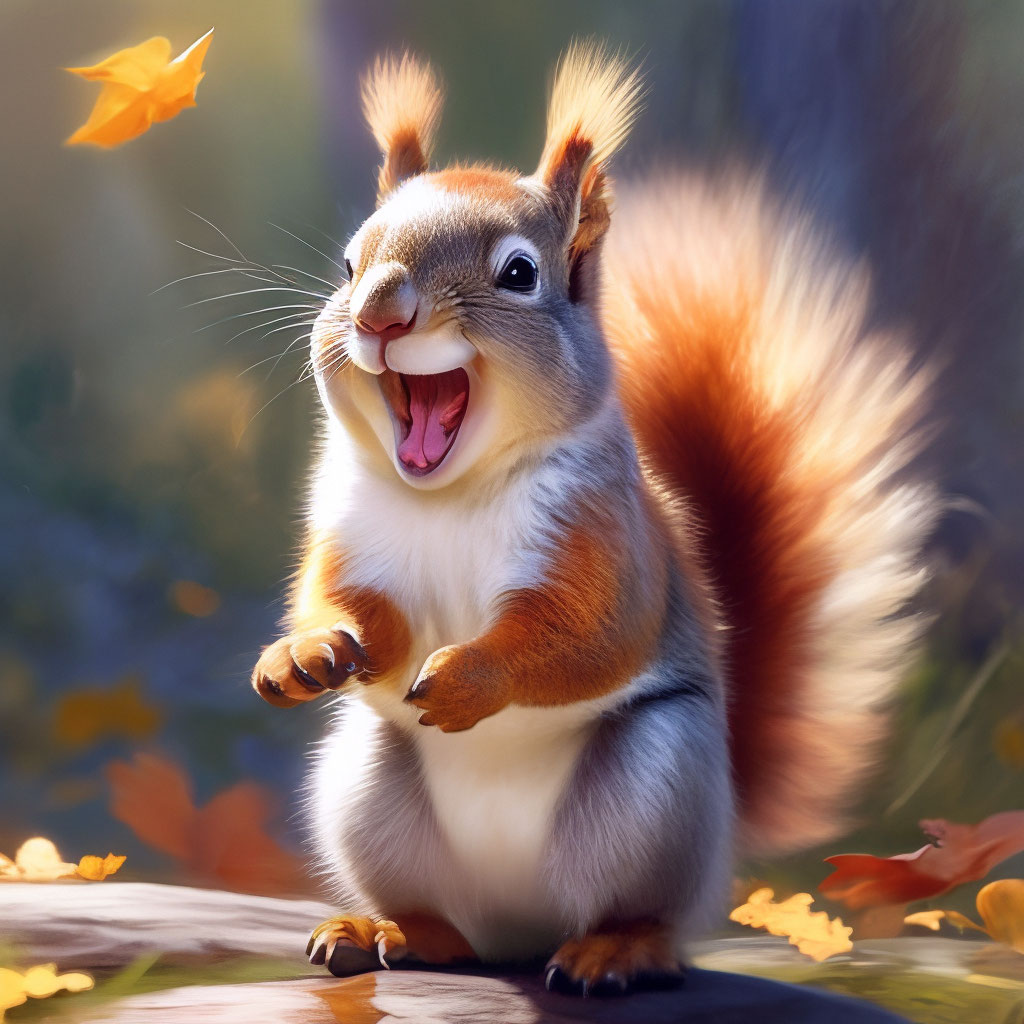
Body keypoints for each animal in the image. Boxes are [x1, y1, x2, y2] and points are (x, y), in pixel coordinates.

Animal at [251, 43, 939, 995]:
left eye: (519, 273)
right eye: (350, 263)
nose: (381, 313)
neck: (450, 492)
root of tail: (517, 932)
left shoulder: (605, 539)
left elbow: (587, 635)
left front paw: (467, 679)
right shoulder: (350, 537)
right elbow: (350, 613)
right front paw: (303, 653)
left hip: (655, 786)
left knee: (639, 911)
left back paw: (617, 952)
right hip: (364, 785)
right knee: (443, 923)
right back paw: (387, 928)